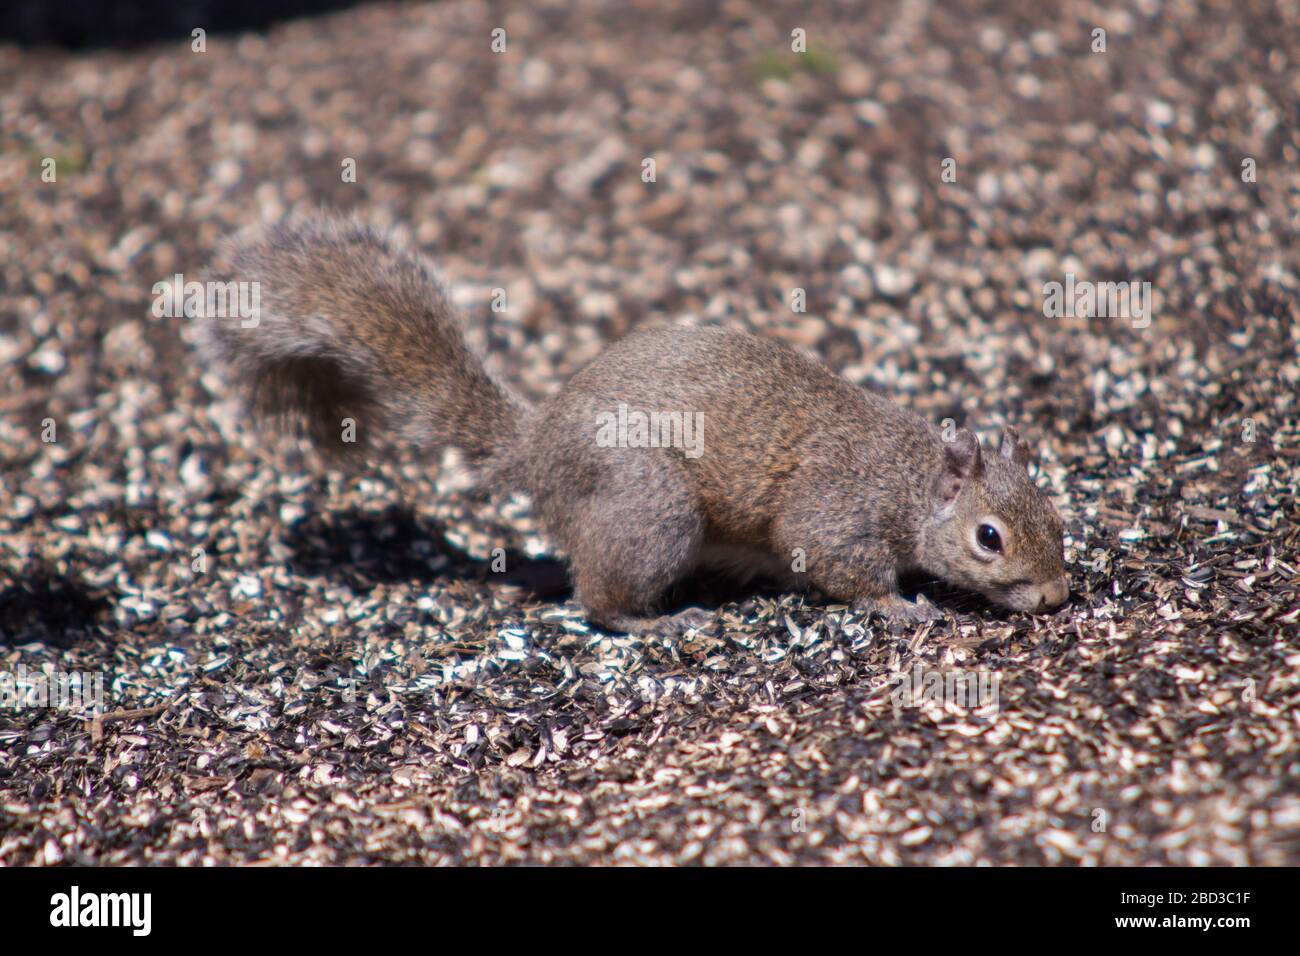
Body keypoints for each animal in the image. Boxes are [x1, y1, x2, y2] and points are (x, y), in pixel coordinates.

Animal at [203, 214, 1070, 633]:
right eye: (989, 538)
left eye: (1057, 516)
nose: (1058, 597)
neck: (909, 477)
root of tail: (536, 449)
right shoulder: (837, 513)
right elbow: (841, 566)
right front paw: (903, 607)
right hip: (651, 507)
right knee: (599, 598)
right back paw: (656, 621)